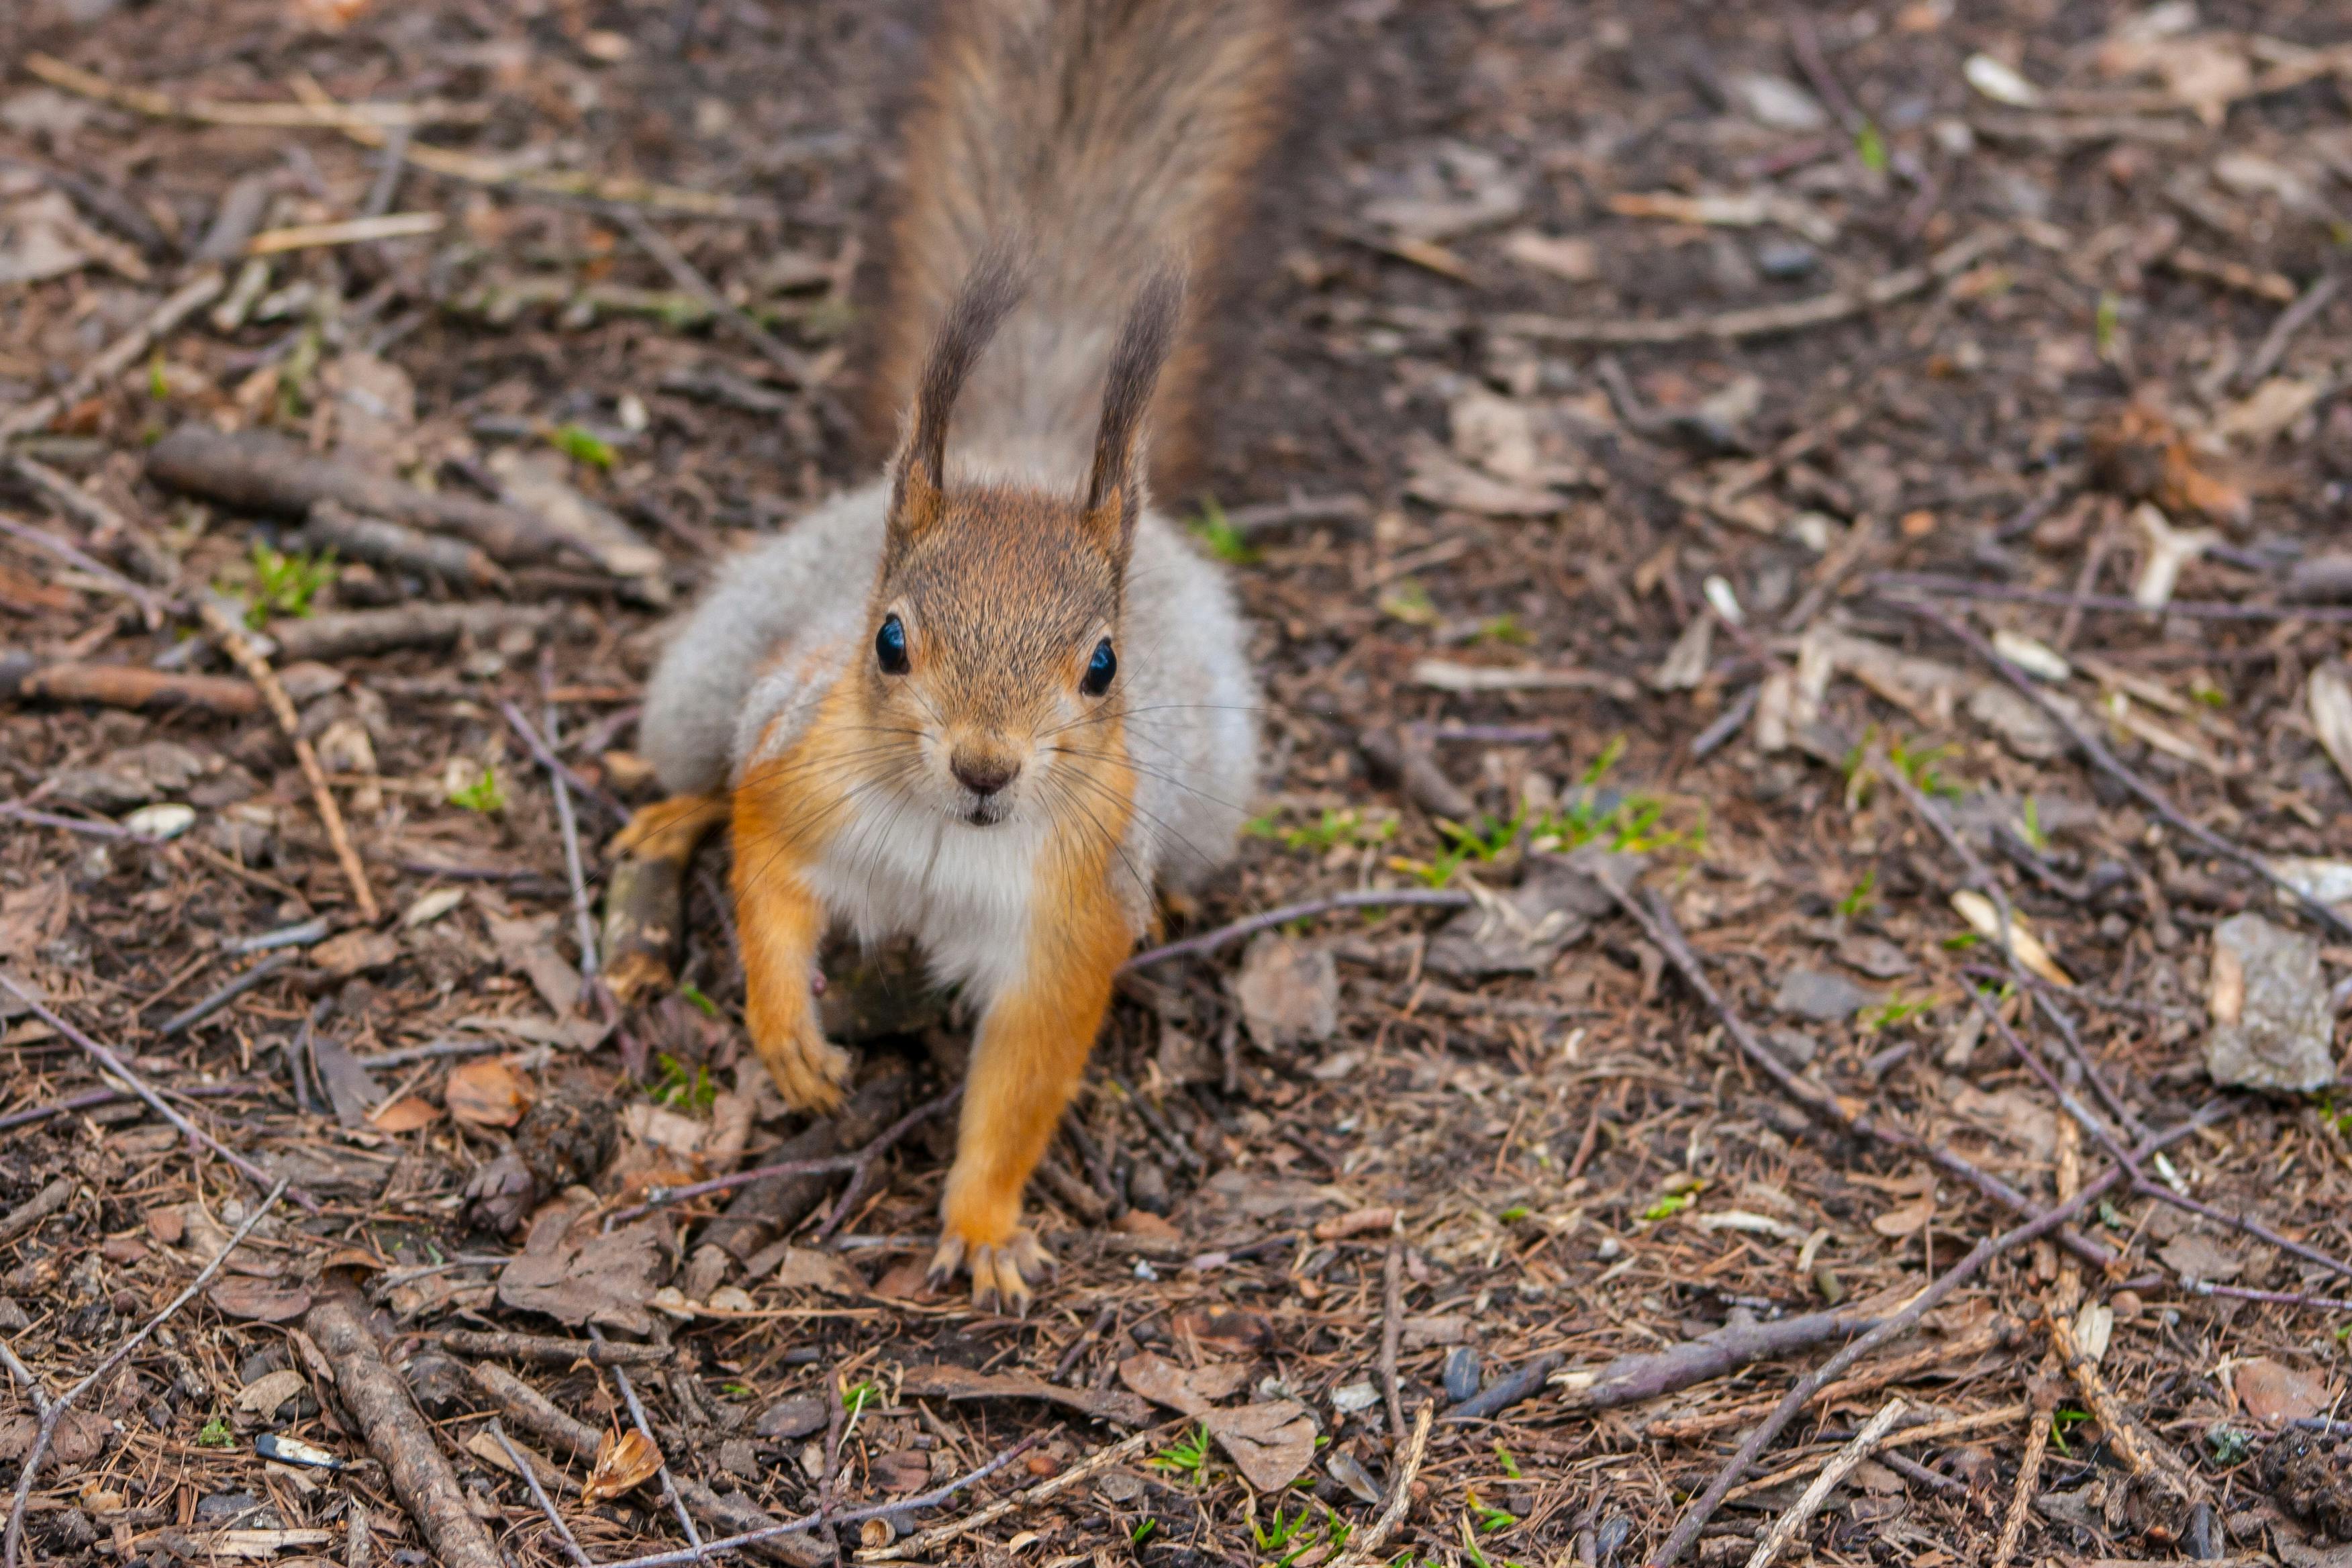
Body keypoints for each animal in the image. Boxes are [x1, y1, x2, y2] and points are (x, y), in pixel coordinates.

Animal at [635, 0, 1287, 1311]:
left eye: (1103, 666)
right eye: (888, 638)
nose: (985, 767)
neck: (949, 841)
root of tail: (1017, 465)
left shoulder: (1071, 923)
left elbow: (1021, 1085)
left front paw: (985, 1228)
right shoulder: (799, 769)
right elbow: (763, 874)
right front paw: (789, 1037)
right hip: (709, 676)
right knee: (702, 775)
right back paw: (670, 816)